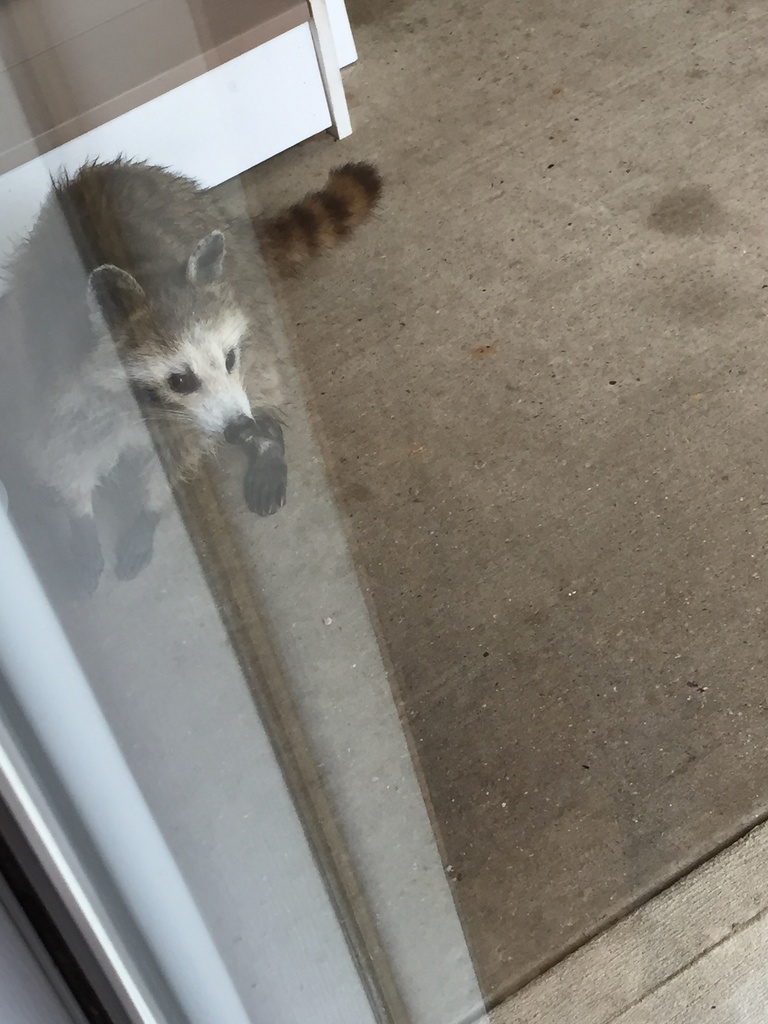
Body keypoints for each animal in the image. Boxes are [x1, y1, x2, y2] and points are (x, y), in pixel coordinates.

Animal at [6, 157, 381, 592]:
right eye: (180, 380)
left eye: (229, 358)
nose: (240, 427)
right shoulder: (50, 376)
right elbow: (65, 454)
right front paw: (79, 519)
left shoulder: (191, 414)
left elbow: (177, 457)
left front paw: (151, 508)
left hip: (244, 289)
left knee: (263, 371)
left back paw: (268, 435)